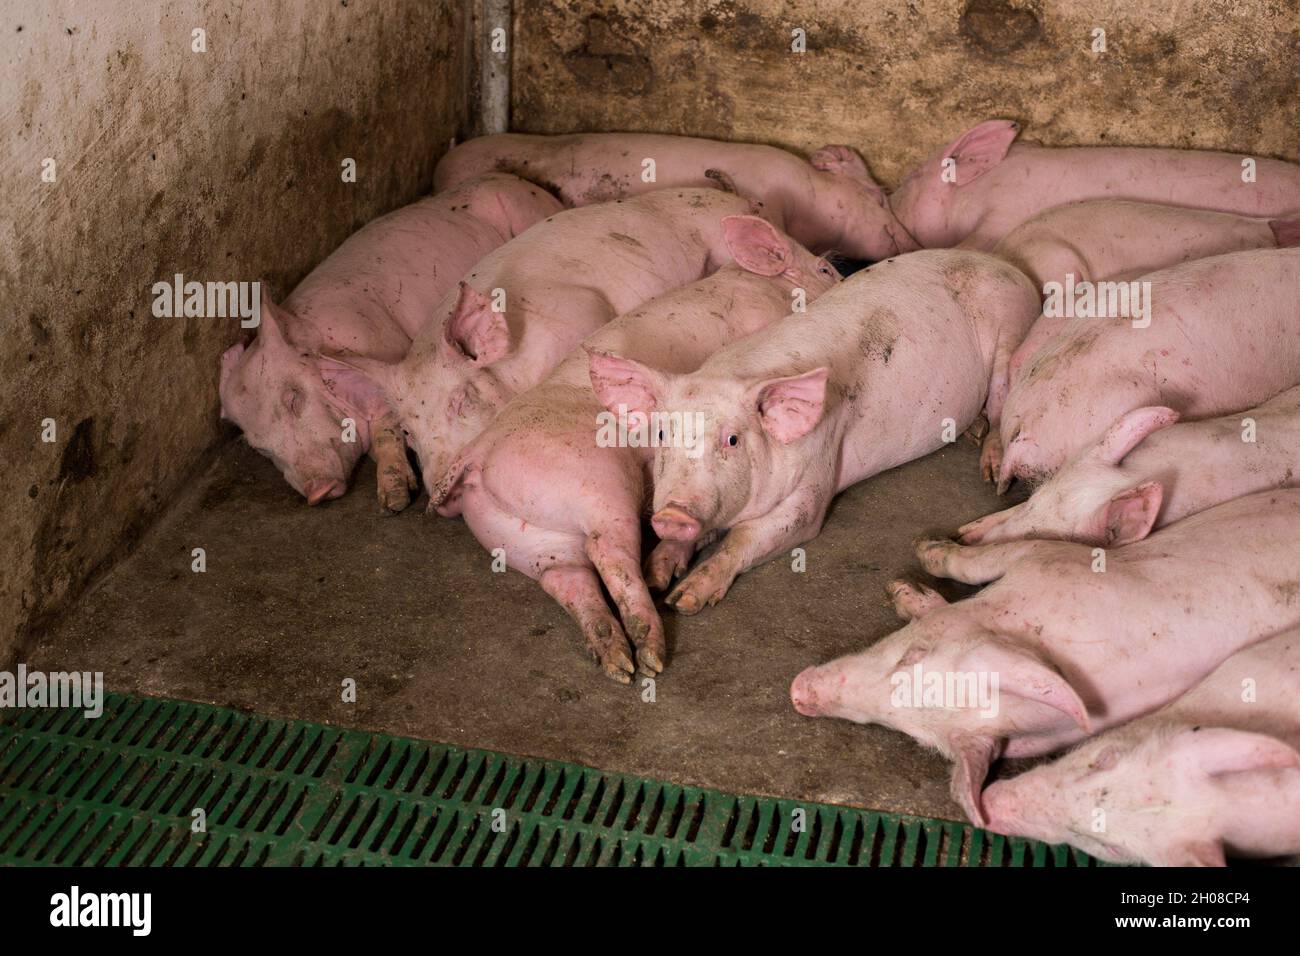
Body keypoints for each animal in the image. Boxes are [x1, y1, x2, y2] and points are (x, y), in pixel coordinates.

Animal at [217, 173, 561, 511]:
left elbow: (386, 430)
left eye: (293, 399)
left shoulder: (382, 347)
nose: (316, 492)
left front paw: (395, 500)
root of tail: (512, 179)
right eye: (260, 447)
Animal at [432, 217, 840, 682]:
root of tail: (476, 452)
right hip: (598, 488)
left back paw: (616, 661)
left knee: (567, 577)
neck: (769, 286)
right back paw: (649, 656)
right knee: (611, 555)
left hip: (519, 536)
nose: (842, 276)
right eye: (825, 270)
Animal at [591, 251, 1041, 615]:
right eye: (661, 436)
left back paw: (990, 467)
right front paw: (656, 578)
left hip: (1011, 327)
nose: (672, 514)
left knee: (1003, 397)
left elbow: (750, 537)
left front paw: (684, 601)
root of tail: (1008, 266)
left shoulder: (816, 475)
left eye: (732, 440)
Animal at [789, 489, 1300, 826]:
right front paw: (905, 585)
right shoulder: (1049, 559)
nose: (798, 692)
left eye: (913, 657)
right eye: (912, 733)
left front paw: (924, 552)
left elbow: (969, 563)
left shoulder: (1051, 558)